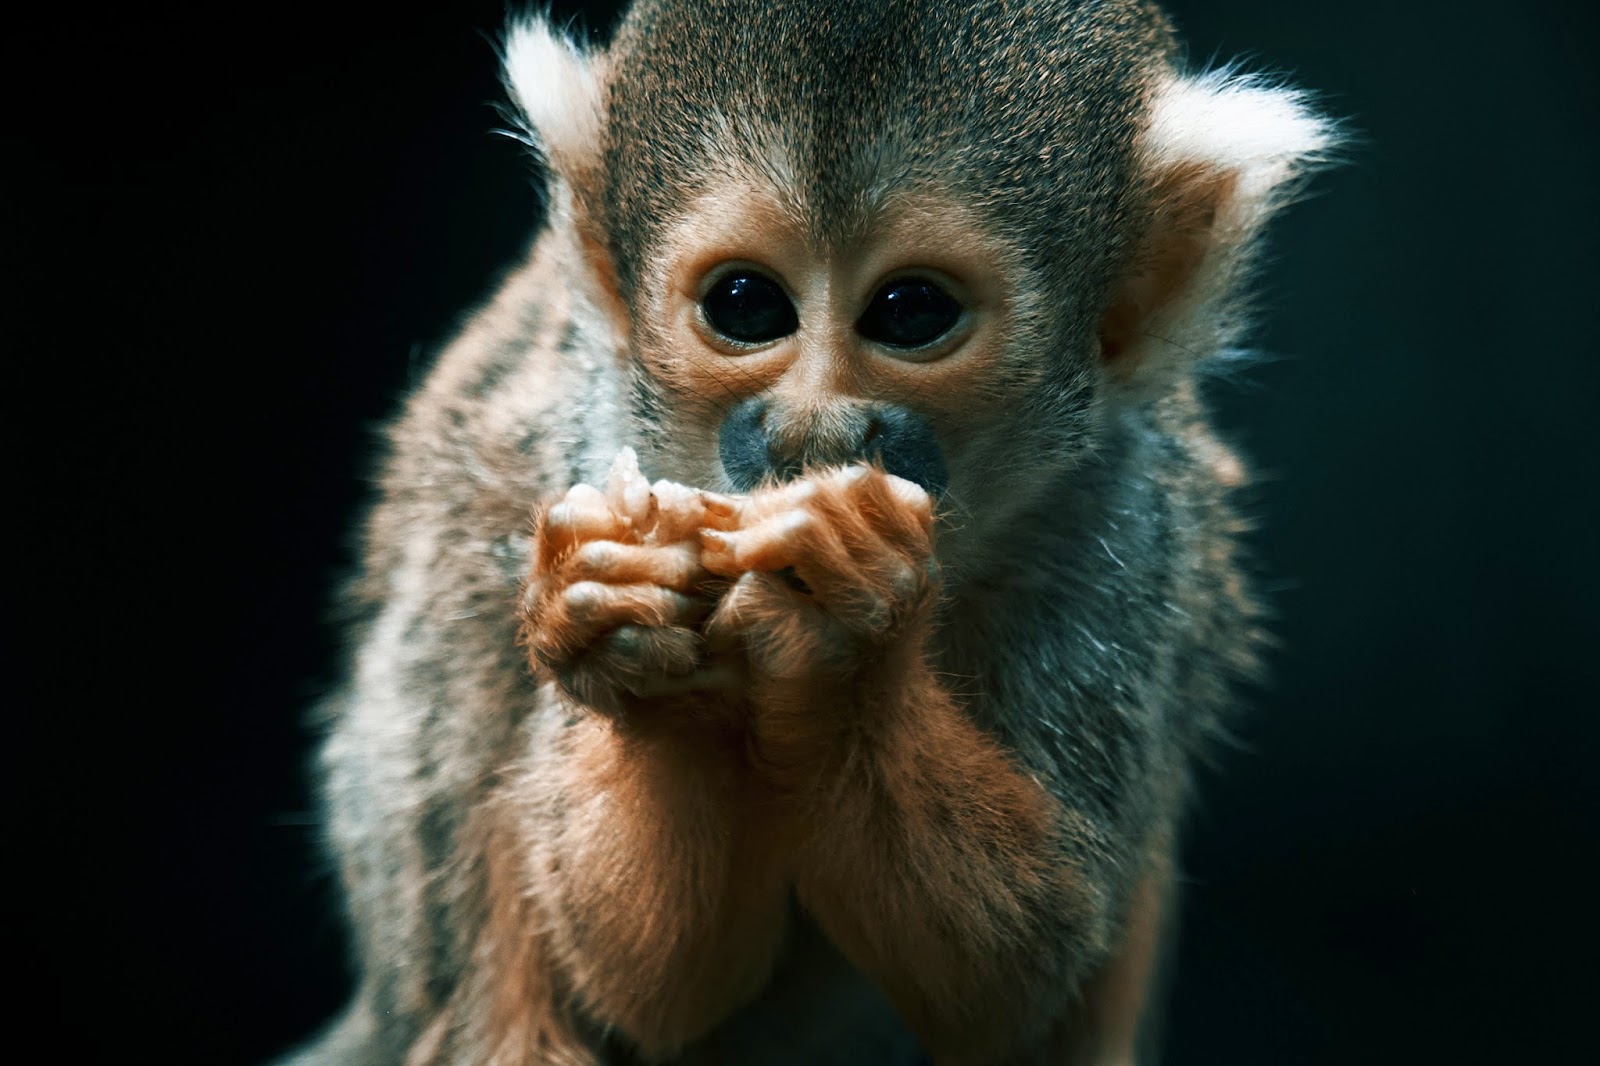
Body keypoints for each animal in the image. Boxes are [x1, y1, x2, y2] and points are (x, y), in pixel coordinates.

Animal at [280, 2, 1336, 1063]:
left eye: (910, 312)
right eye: (746, 304)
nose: (811, 431)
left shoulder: (1121, 520)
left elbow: (1020, 966)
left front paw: (851, 631)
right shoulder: (585, 441)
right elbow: (648, 982)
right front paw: (650, 659)